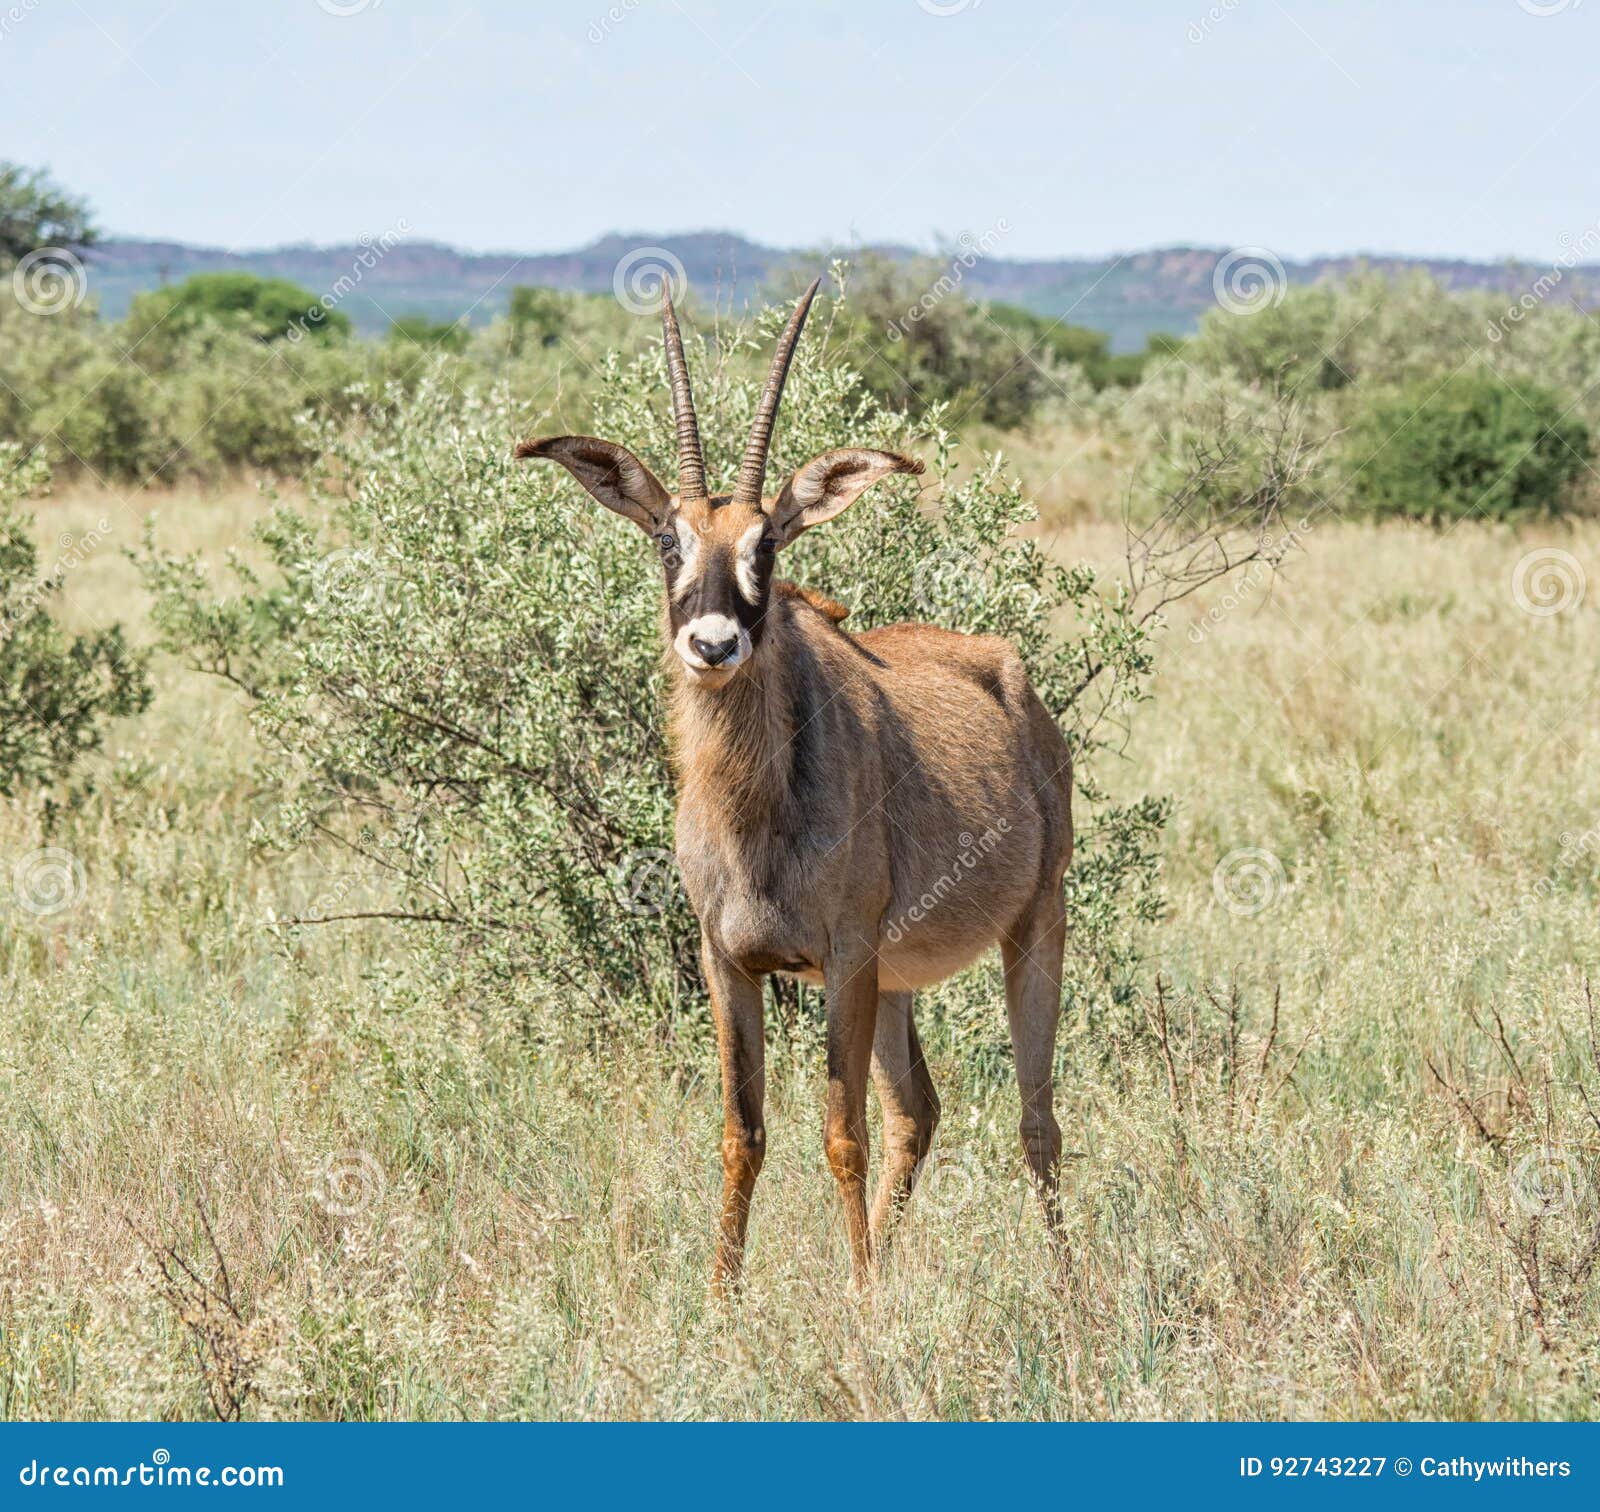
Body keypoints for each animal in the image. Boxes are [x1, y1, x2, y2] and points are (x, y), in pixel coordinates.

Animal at [518, 278, 1073, 1289]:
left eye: (768, 544)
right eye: (668, 540)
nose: (712, 645)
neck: (755, 812)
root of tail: (1005, 670)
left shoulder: (843, 959)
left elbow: (840, 1133)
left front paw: (855, 1304)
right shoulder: (728, 962)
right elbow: (743, 1133)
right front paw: (724, 1298)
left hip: (1030, 927)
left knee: (1035, 1118)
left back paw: (1065, 1282)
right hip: (898, 978)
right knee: (918, 1108)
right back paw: (891, 1262)